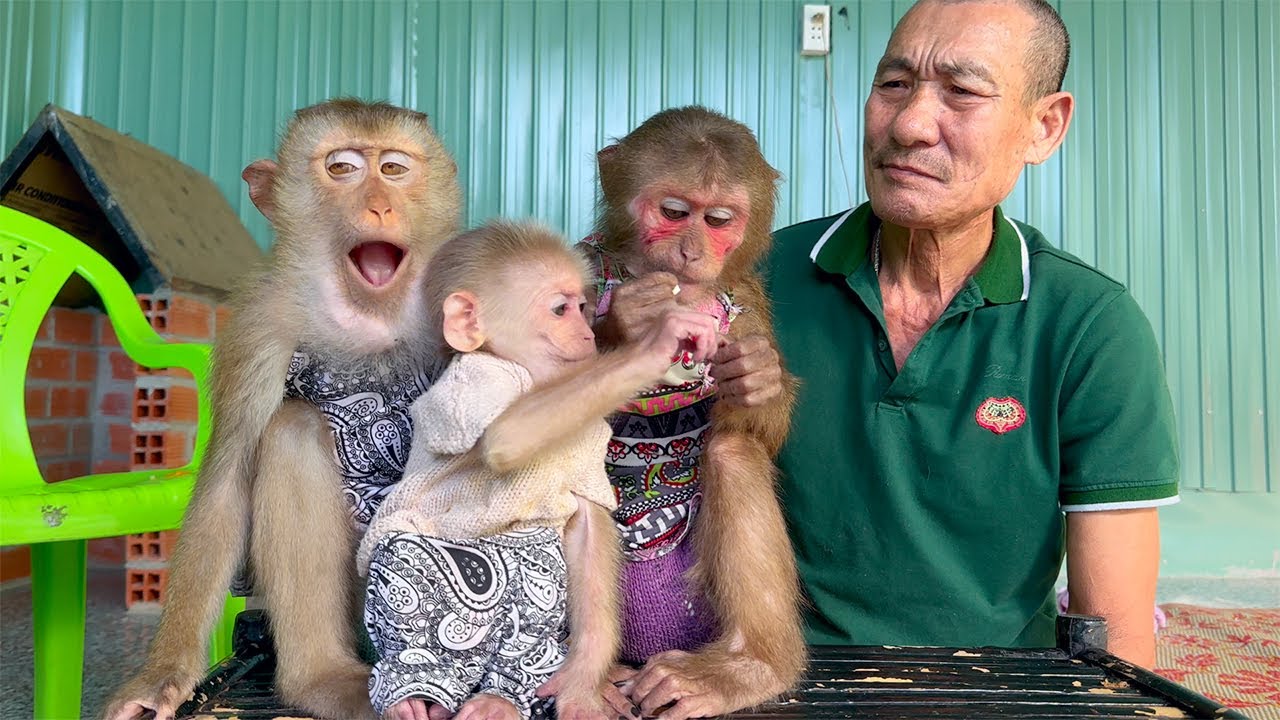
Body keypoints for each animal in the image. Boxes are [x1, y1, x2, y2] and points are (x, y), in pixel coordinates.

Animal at [104, 98, 463, 720]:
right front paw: (162, 674)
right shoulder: (259, 324)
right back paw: (320, 679)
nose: (380, 204)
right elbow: (227, 479)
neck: (372, 315)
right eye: (342, 169)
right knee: (290, 428)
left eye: (393, 168)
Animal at [355, 221, 724, 720]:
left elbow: (587, 526)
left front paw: (583, 684)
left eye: (583, 308)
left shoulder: (588, 439)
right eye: (561, 310)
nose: (587, 335)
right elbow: (505, 436)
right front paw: (654, 343)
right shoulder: (478, 378)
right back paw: (412, 690)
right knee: (407, 552)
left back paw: (503, 694)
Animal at [580, 106, 806, 719]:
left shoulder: (744, 299)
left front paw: (759, 377)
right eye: (675, 212)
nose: (690, 253)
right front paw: (627, 323)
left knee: (732, 452)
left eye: (720, 220)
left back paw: (753, 665)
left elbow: (750, 425)